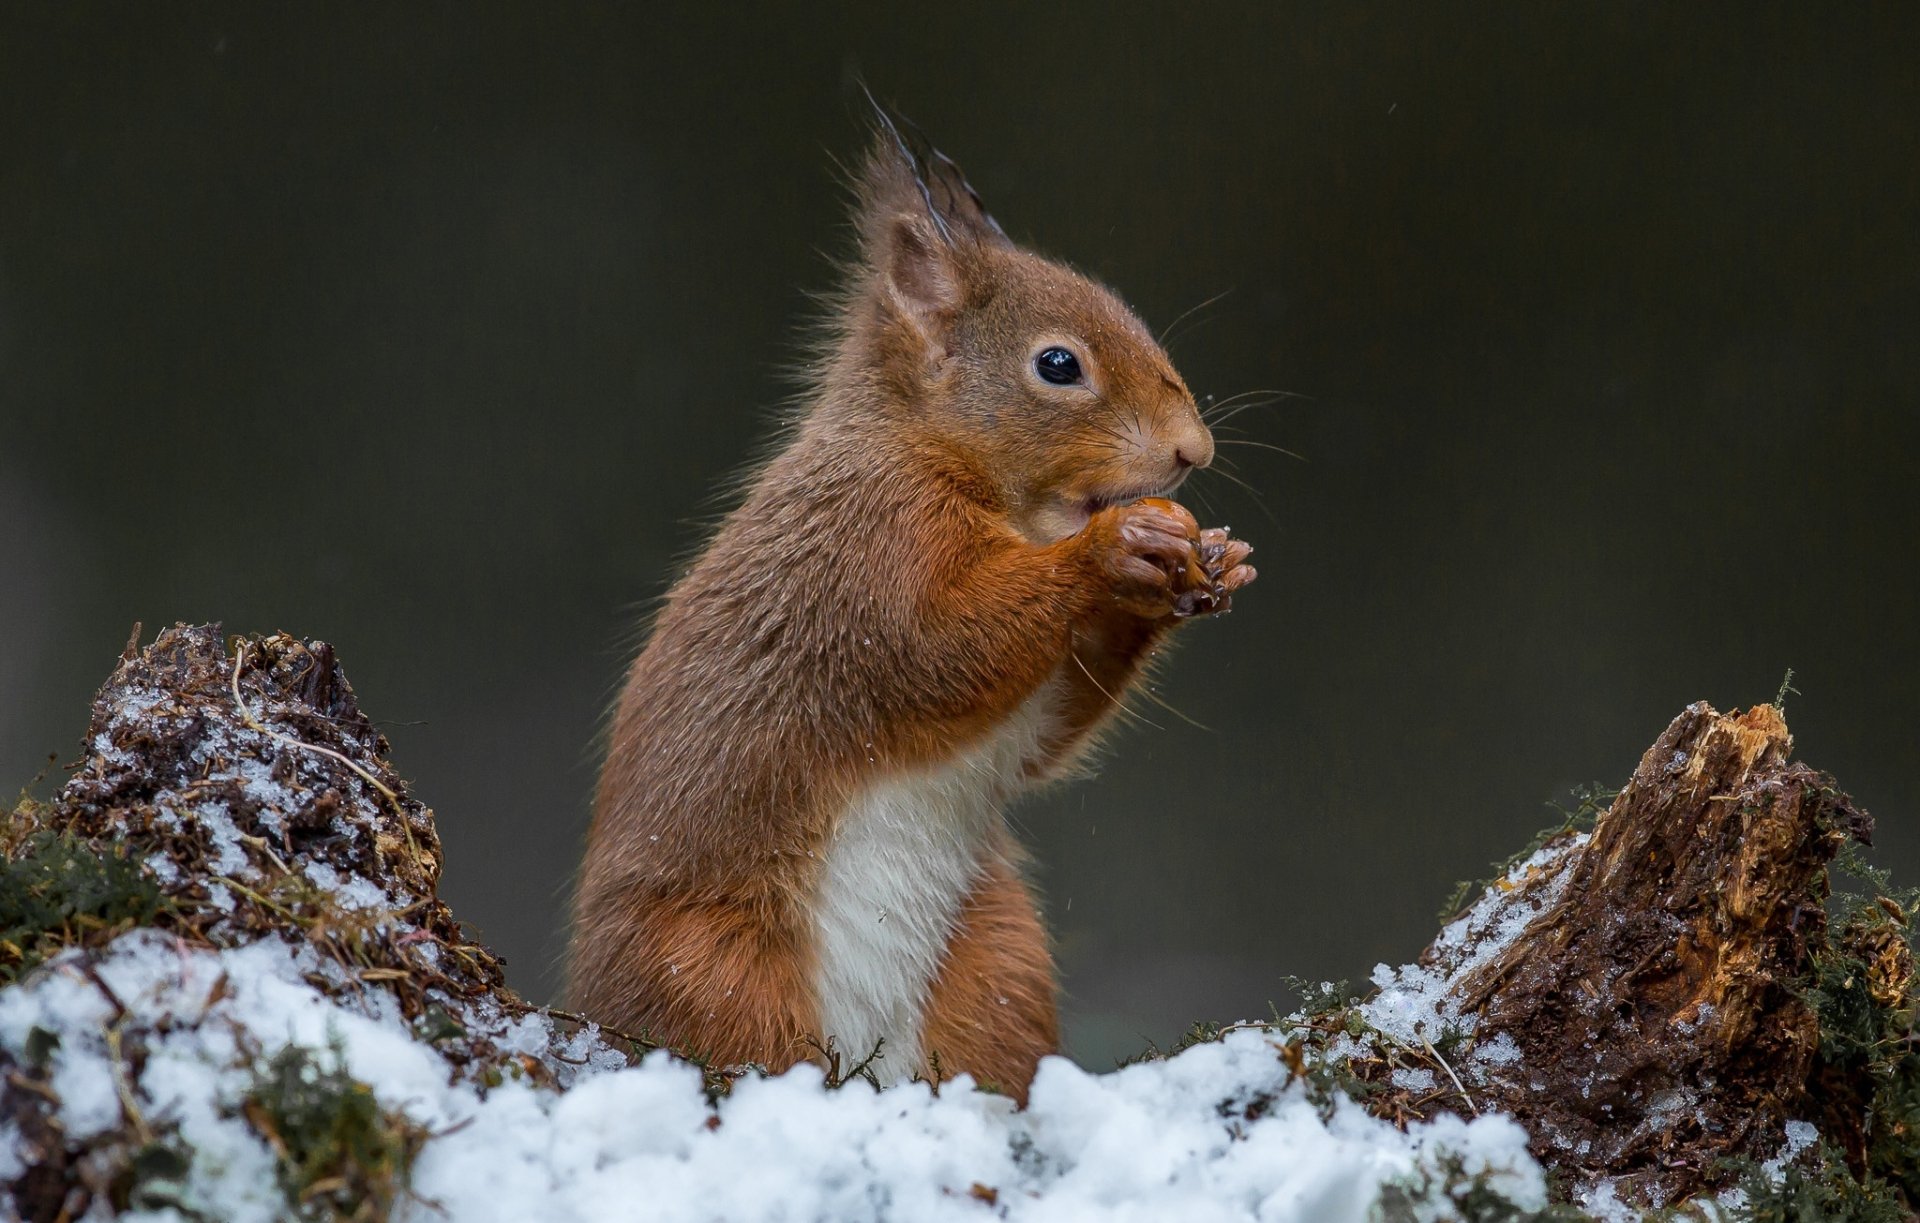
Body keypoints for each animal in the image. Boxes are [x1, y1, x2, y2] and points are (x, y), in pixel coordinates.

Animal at [565, 117, 1256, 1103]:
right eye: (1058, 365)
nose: (1194, 450)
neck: (933, 453)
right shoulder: (866, 559)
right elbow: (937, 651)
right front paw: (1107, 553)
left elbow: (1044, 737)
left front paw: (1214, 563)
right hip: (711, 964)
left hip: (998, 961)